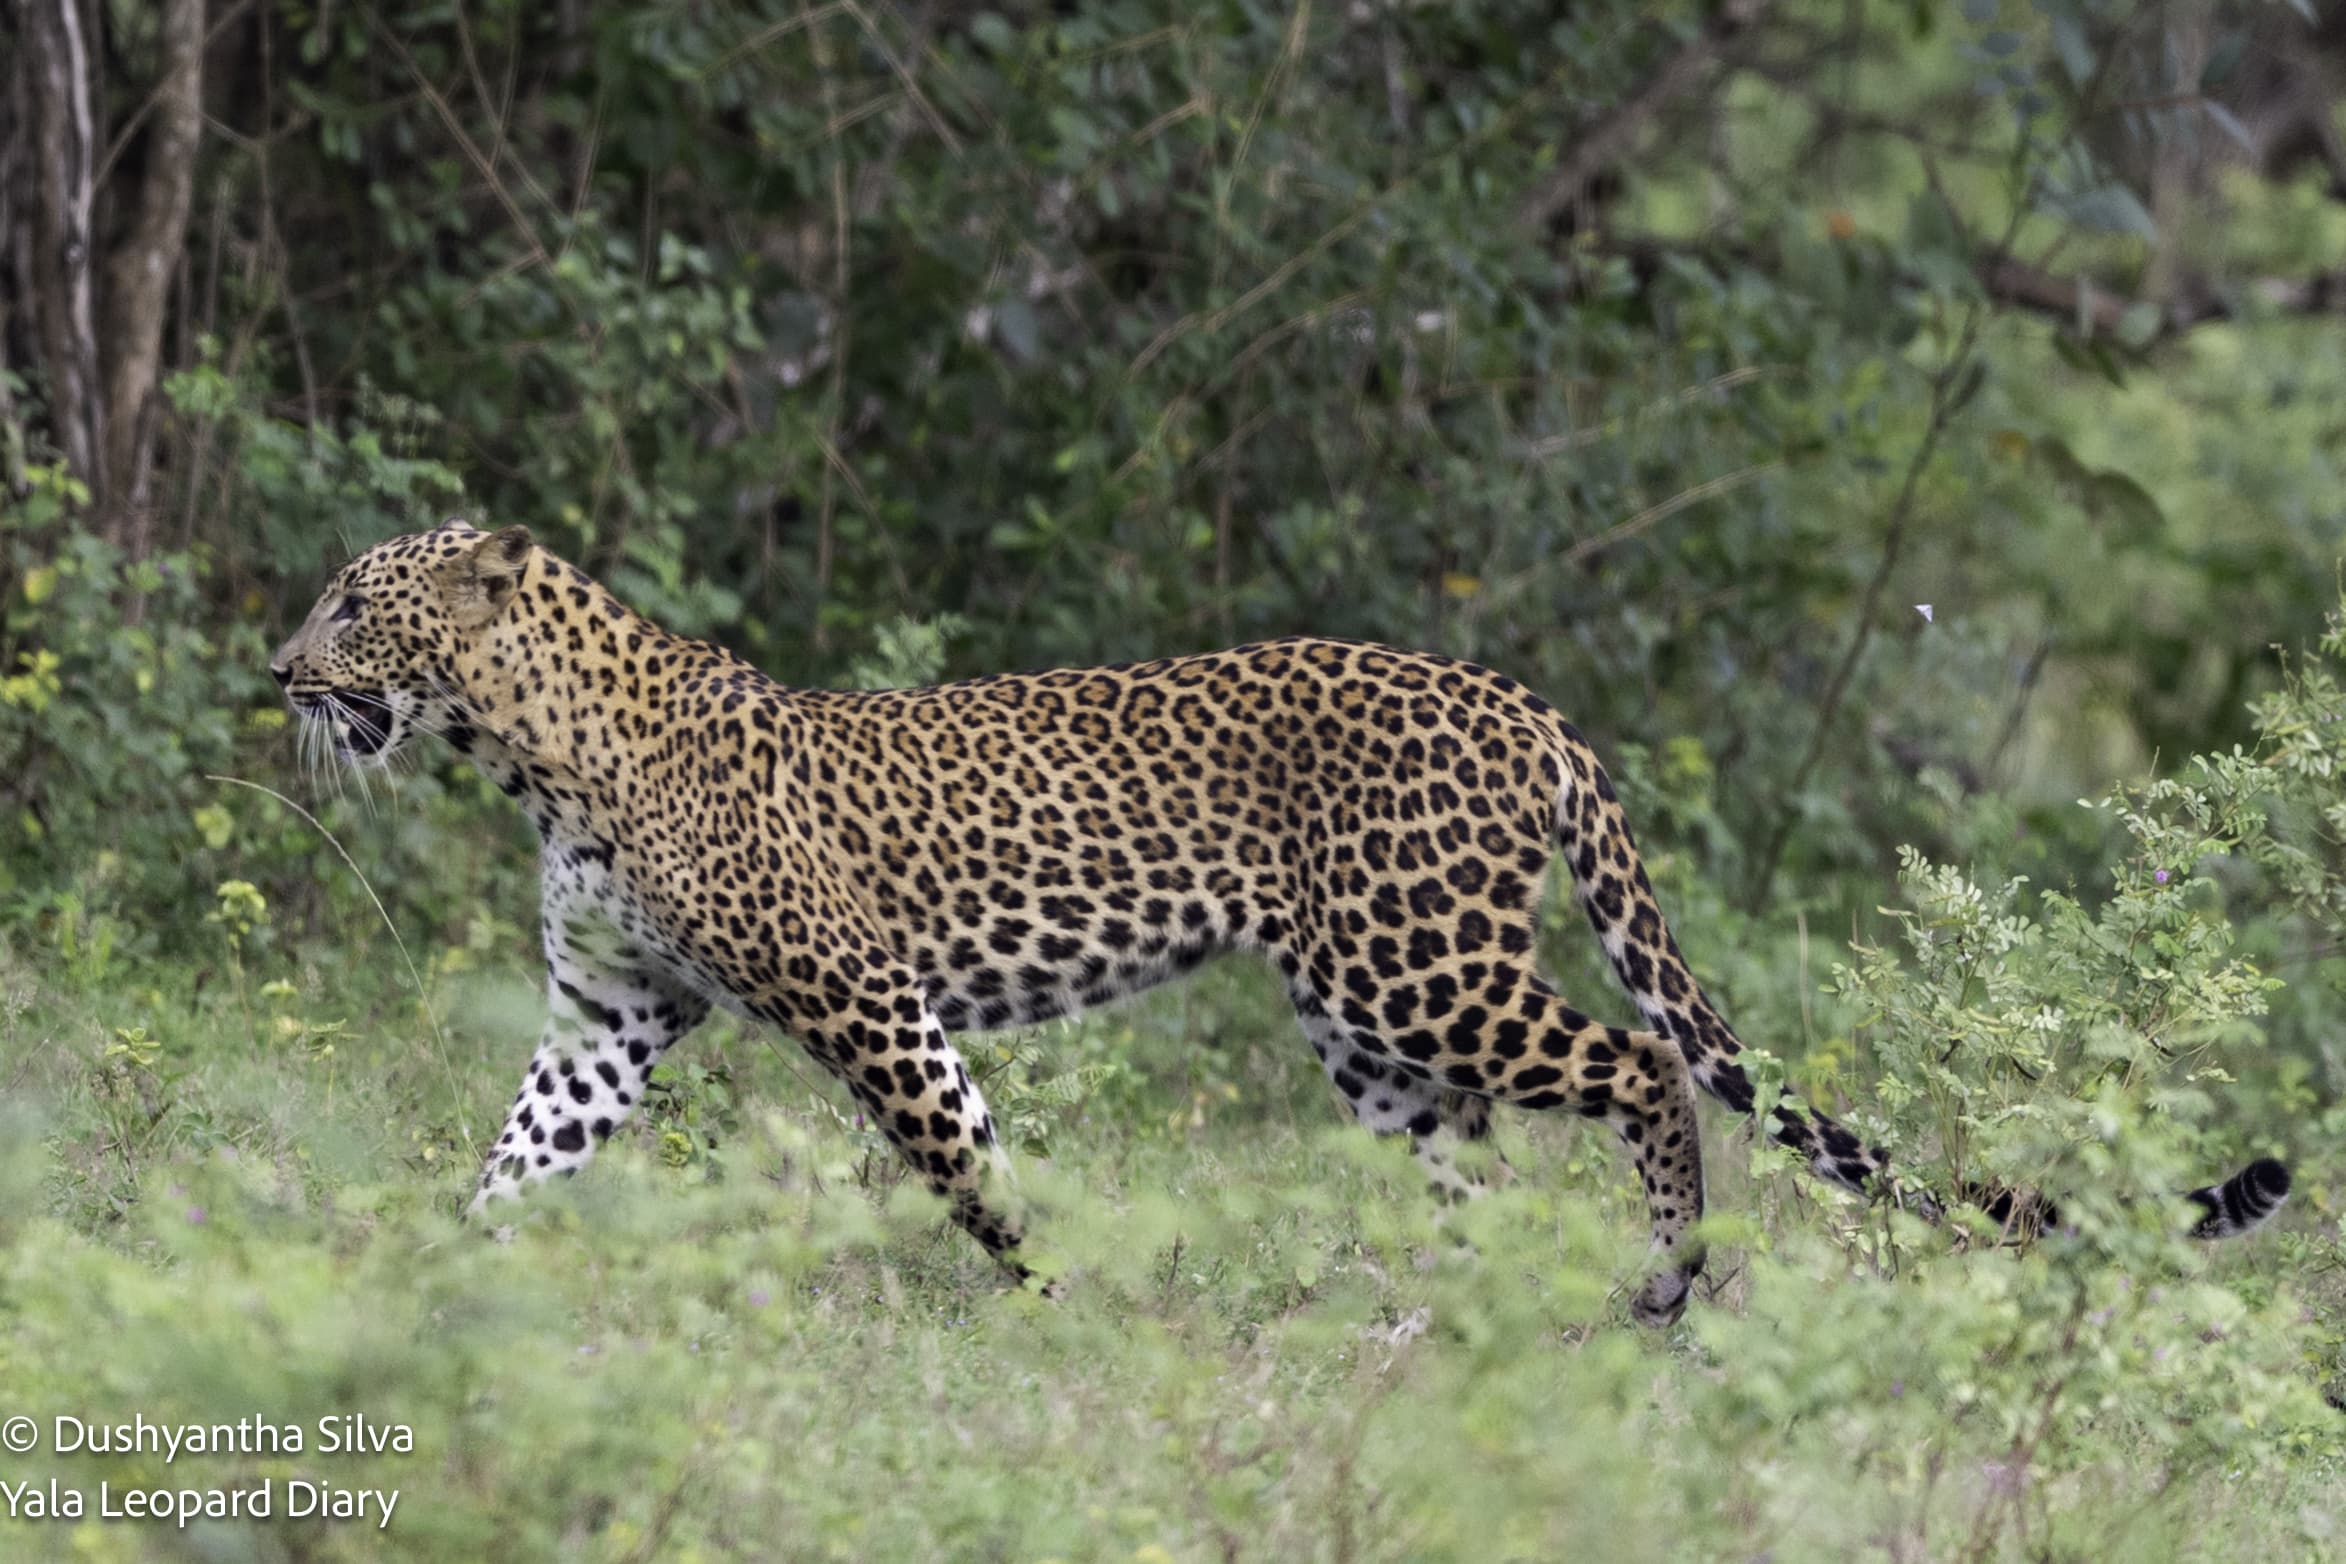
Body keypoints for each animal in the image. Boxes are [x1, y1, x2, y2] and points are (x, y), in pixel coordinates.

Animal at [270, 520, 2290, 1326]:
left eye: (356, 601)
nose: (279, 669)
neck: (531, 755)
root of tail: (1519, 698)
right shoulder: (612, 1013)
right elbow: (516, 1161)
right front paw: (413, 1290)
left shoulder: (859, 997)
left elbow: (968, 1166)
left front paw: (1062, 1305)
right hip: (1370, 1029)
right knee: (1467, 1163)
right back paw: (1434, 1316)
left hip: (1423, 965)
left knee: (1641, 1066)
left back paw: (1662, 1280)